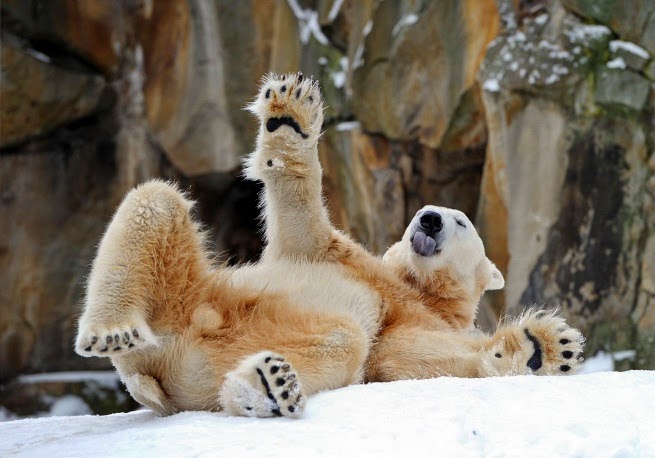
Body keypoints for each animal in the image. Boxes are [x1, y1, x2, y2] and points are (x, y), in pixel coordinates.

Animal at [74, 72, 584, 419]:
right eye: (423, 210)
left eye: (460, 220)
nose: (430, 218)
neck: (414, 285)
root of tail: (156, 371)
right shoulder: (333, 253)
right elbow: (303, 223)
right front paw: (290, 116)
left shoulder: (419, 321)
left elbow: (407, 356)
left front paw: (542, 349)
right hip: (191, 291)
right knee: (155, 201)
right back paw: (112, 328)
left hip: (194, 333)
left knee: (340, 340)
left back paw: (265, 386)